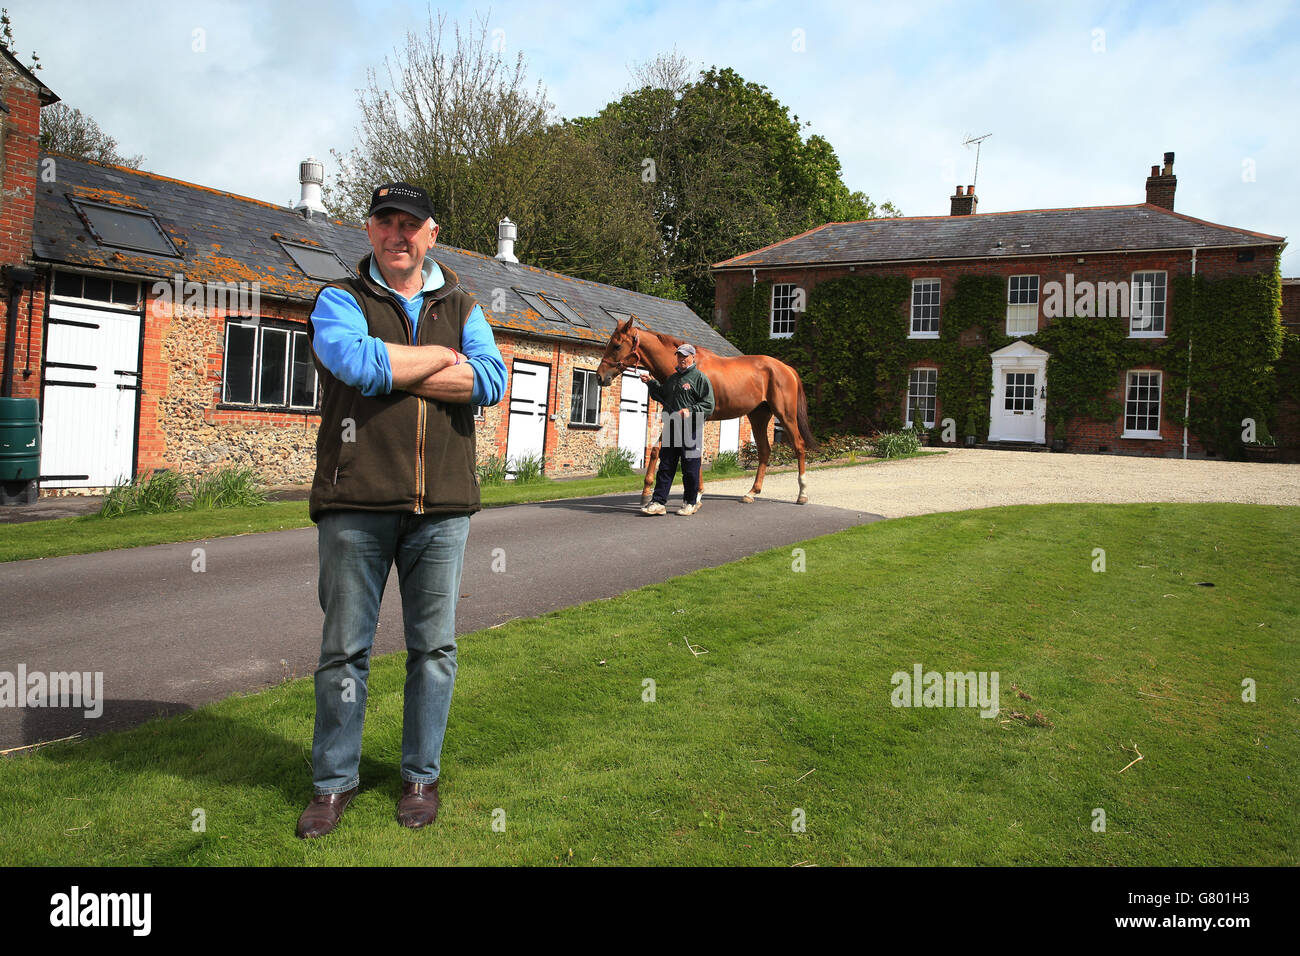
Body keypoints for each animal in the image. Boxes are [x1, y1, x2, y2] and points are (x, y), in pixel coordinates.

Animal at [595, 317, 816, 506]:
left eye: (616, 345)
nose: (600, 376)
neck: (684, 370)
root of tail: (787, 368)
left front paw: (697, 494)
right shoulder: (676, 418)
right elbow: (656, 449)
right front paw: (646, 493)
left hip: (785, 415)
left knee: (799, 446)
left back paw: (802, 494)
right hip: (758, 416)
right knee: (764, 451)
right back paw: (751, 493)